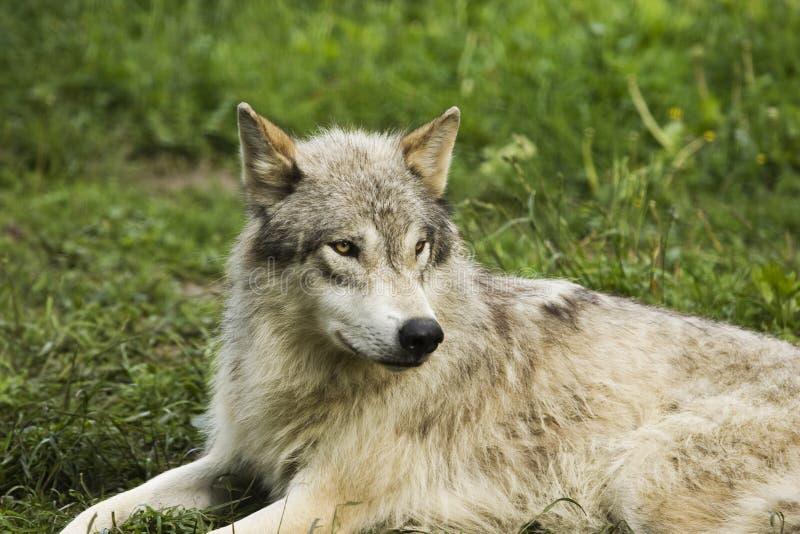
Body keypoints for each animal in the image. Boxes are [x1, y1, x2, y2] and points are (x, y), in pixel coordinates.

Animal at [62, 104, 800, 534]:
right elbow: (89, 515)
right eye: (345, 248)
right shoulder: (234, 461)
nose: (424, 336)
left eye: (418, 248)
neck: (308, 376)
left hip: (644, 486)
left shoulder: (317, 503)